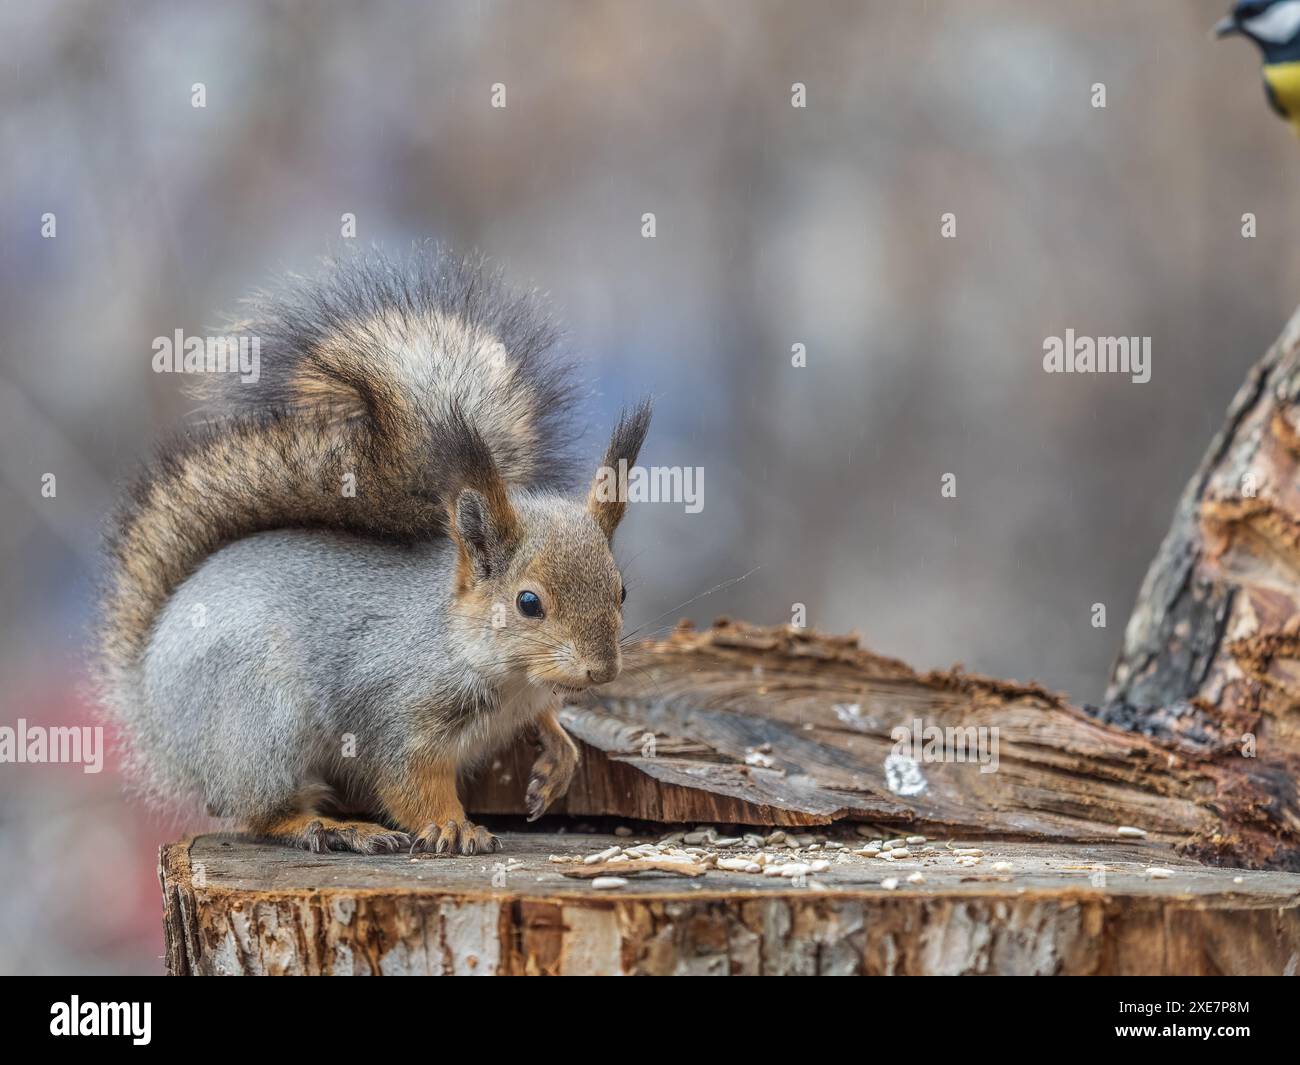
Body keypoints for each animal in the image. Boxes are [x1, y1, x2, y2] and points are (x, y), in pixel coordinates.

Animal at [98, 245, 651, 856]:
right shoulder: (395, 714)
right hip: (261, 720)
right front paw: (453, 826)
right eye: (529, 603)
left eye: (622, 590)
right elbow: (409, 783)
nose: (602, 670)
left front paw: (559, 757)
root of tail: (152, 711)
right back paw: (334, 827)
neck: (504, 675)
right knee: (261, 810)